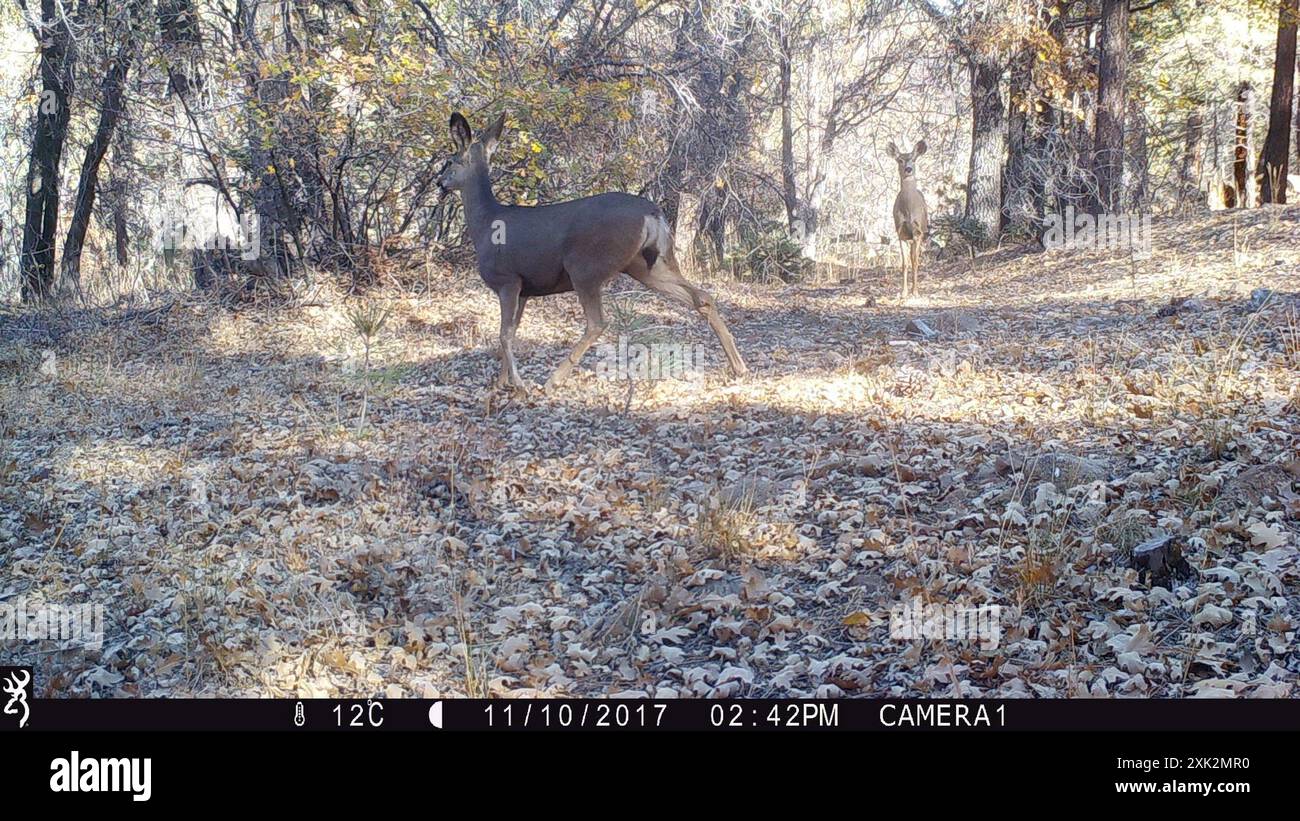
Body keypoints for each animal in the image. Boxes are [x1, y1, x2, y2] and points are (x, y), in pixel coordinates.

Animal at [435, 111, 748, 392]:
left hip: (585, 267)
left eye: (449, 161)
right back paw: (738, 366)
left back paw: (553, 380)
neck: (486, 222)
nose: (439, 182)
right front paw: (502, 384)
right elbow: (511, 331)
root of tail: (653, 214)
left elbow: (504, 334)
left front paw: (519, 385)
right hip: (649, 265)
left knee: (597, 322)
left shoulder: (507, 280)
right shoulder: (524, 288)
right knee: (702, 296)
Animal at [886, 140, 928, 297]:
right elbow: (904, 263)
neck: (909, 209)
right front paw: (903, 292)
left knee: (914, 257)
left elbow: (915, 262)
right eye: (900, 160)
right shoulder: (901, 233)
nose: (908, 169)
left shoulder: (918, 232)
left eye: (914, 159)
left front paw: (915, 292)